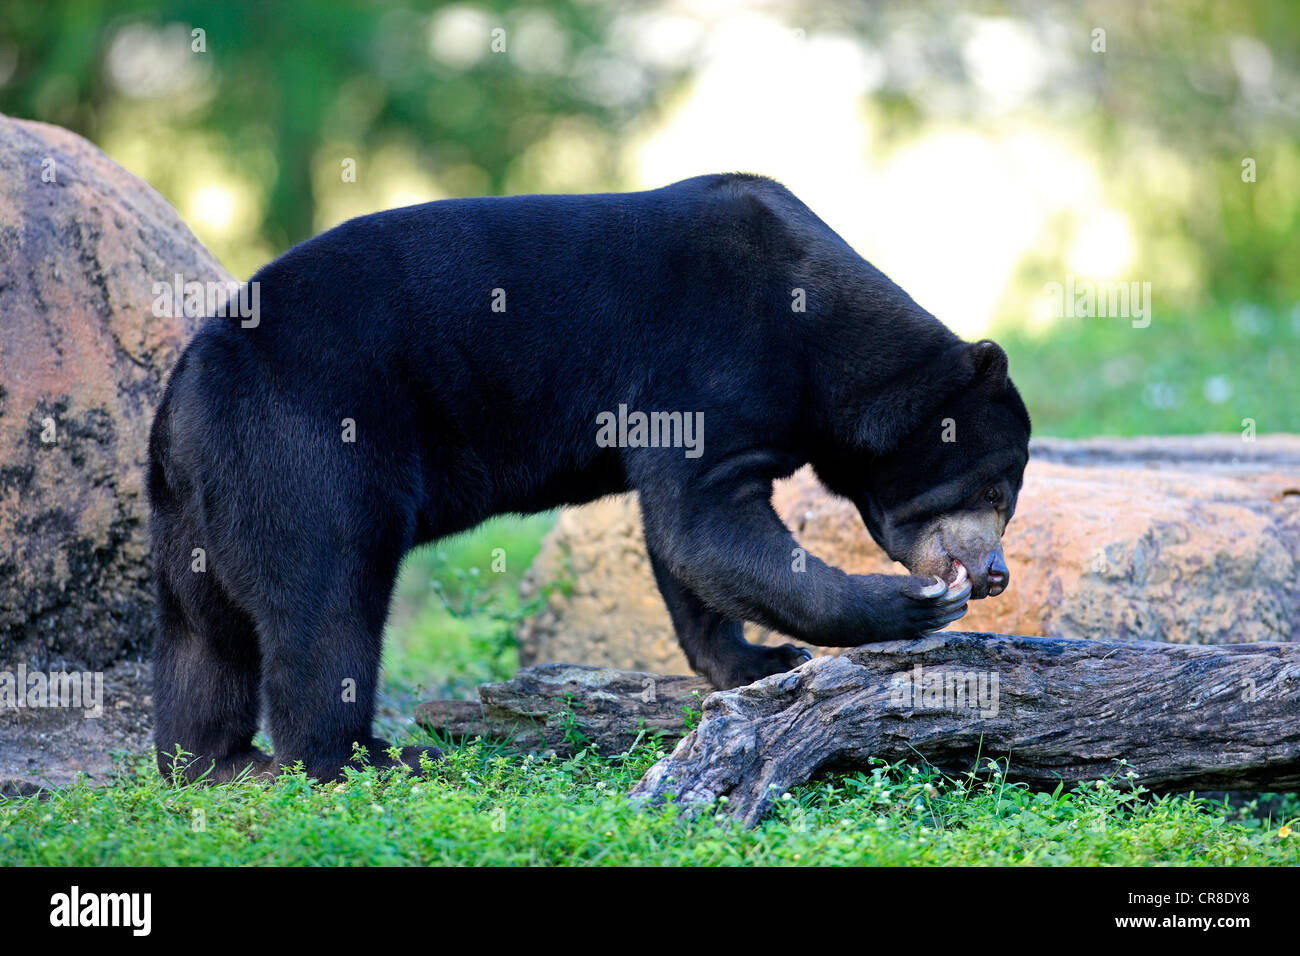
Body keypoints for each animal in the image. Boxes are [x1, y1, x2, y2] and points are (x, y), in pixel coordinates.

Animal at [147, 172, 1030, 784]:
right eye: (998, 492)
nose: (993, 574)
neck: (821, 335)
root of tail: (193, 383)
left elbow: (687, 549)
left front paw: (754, 662)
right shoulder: (716, 358)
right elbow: (702, 521)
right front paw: (906, 605)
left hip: (192, 503)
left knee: (200, 633)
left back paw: (215, 762)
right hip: (309, 451)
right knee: (327, 601)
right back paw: (370, 758)